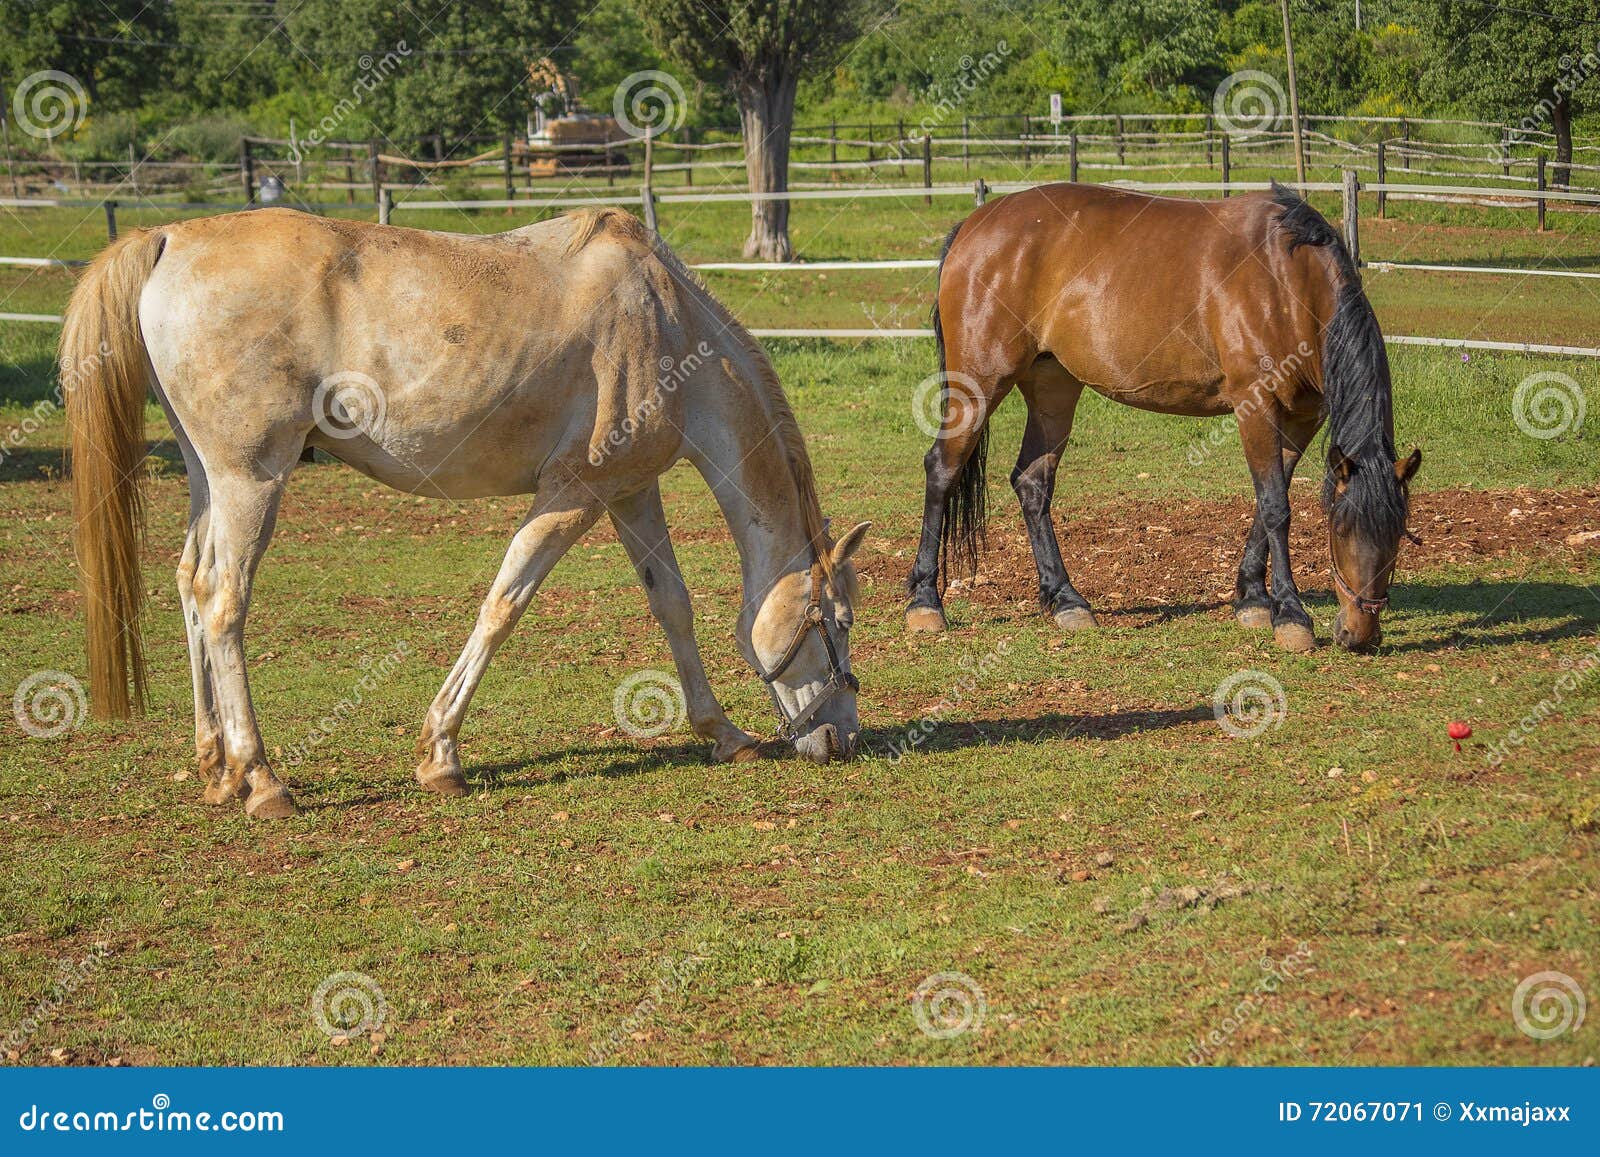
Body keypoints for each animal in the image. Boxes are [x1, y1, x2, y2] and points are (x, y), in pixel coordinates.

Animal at [60, 206, 870, 819]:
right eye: (837, 623)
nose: (847, 738)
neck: (667, 324)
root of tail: (171, 237)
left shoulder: (631, 491)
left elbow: (671, 603)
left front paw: (721, 731)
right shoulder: (574, 493)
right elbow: (504, 604)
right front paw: (441, 755)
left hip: (210, 479)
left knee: (188, 583)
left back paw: (217, 768)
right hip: (251, 480)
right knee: (223, 601)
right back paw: (261, 780)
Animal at [905, 181, 1420, 653]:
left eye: (1399, 535)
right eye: (1341, 528)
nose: (1360, 633)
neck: (1288, 281)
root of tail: (974, 225)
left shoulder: (1302, 418)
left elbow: (1267, 503)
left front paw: (1253, 598)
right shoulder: (1255, 406)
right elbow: (1276, 506)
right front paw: (1290, 614)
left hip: (1054, 389)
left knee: (1032, 483)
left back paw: (1067, 601)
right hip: (979, 383)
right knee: (942, 469)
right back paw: (926, 602)